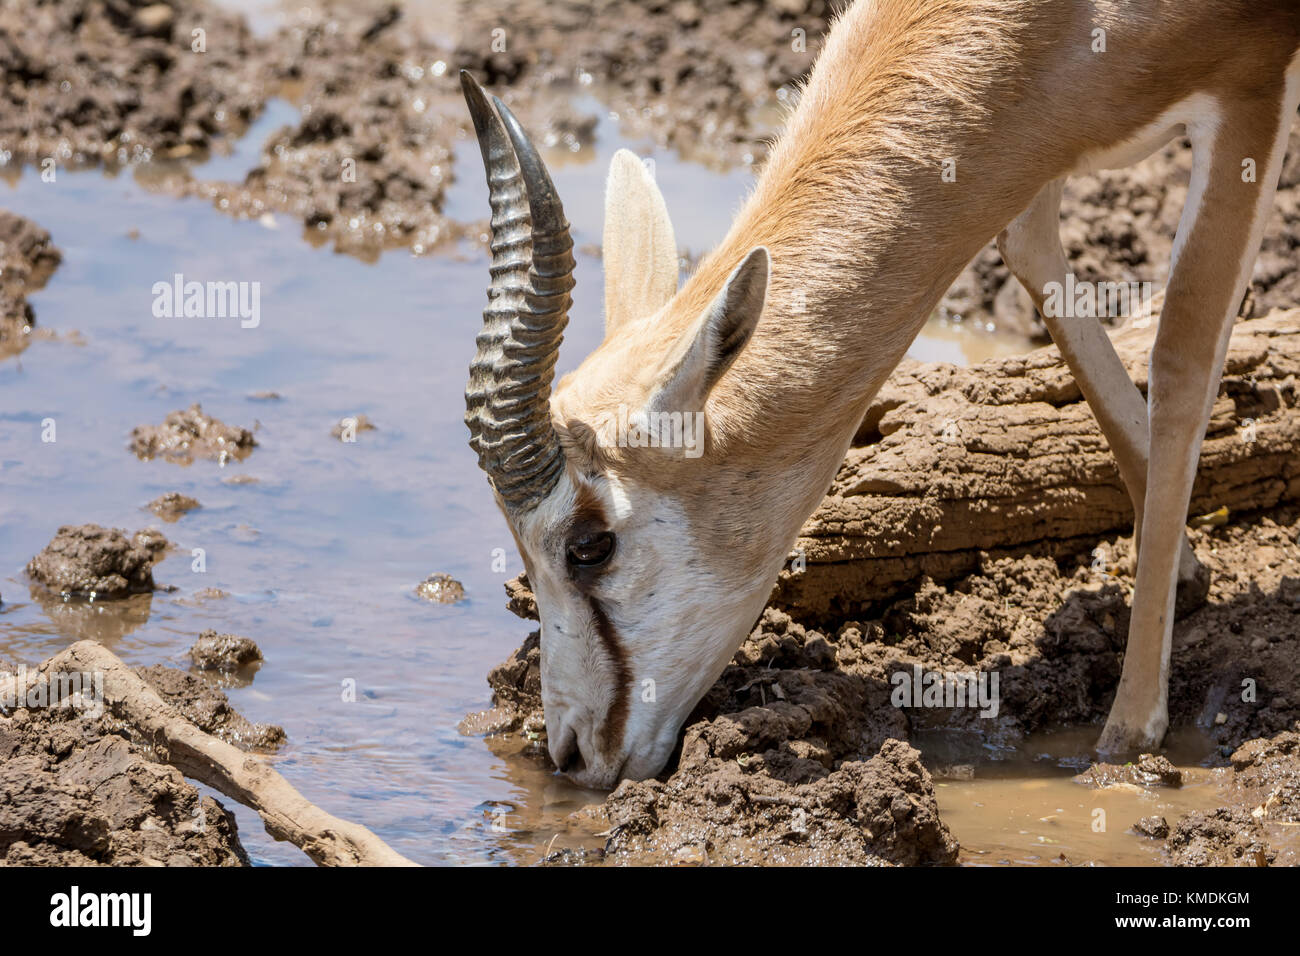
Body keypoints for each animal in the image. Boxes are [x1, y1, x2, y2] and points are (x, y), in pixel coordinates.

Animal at [459, 0, 1300, 789]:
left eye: (589, 546)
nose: (572, 753)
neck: (1068, 21)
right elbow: (1034, 257)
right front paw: (1188, 568)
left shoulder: (1249, 87)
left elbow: (1182, 356)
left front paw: (1129, 733)